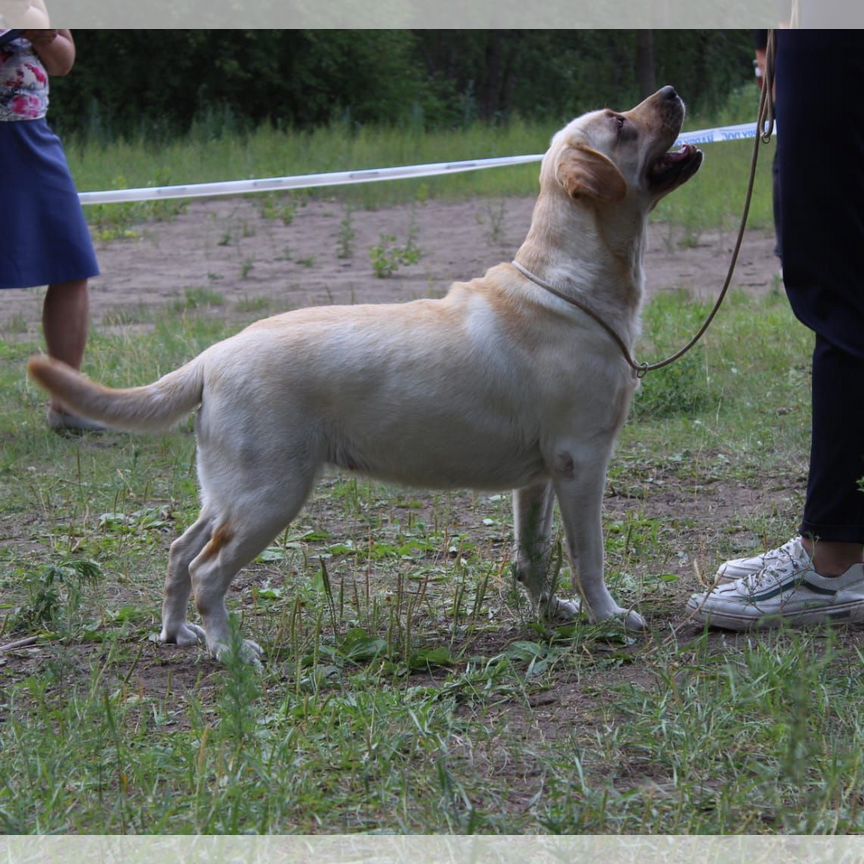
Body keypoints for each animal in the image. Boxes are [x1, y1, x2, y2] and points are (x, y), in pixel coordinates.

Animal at [28, 86, 704, 660]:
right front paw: (609, 617)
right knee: (206, 569)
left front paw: (551, 612)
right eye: (620, 123)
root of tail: (213, 355)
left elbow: (533, 555)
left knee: (177, 551)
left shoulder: (537, 477)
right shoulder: (580, 461)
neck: (569, 288)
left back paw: (177, 633)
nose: (672, 92)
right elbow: (588, 555)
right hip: (269, 493)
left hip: (229, 490)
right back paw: (230, 650)